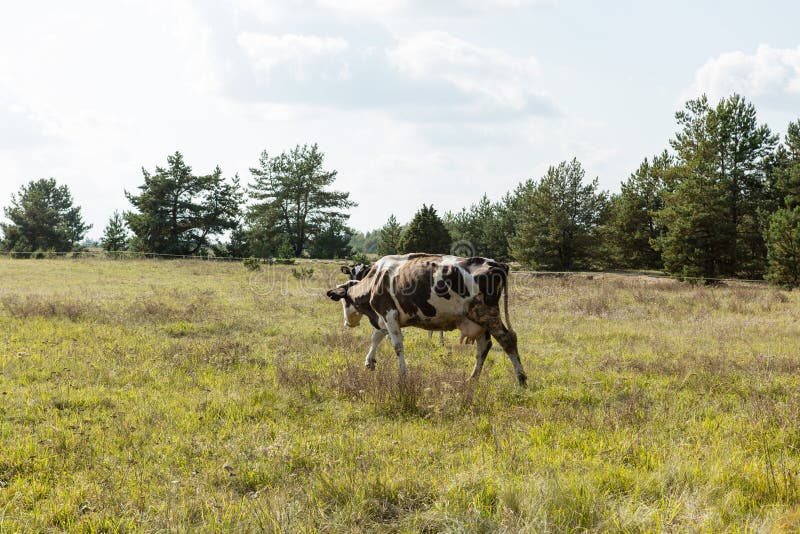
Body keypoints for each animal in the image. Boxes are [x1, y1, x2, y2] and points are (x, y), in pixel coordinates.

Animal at [328, 253, 527, 386]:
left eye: (344, 301)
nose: (347, 322)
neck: (375, 280)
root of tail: (497, 264)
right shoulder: (385, 318)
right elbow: (376, 337)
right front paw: (369, 362)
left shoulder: (388, 313)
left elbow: (397, 345)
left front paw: (402, 374)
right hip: (478, 321)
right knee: (484, 347)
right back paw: (472, 378)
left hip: (486, 313)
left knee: (507, 340)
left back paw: (521, 380)